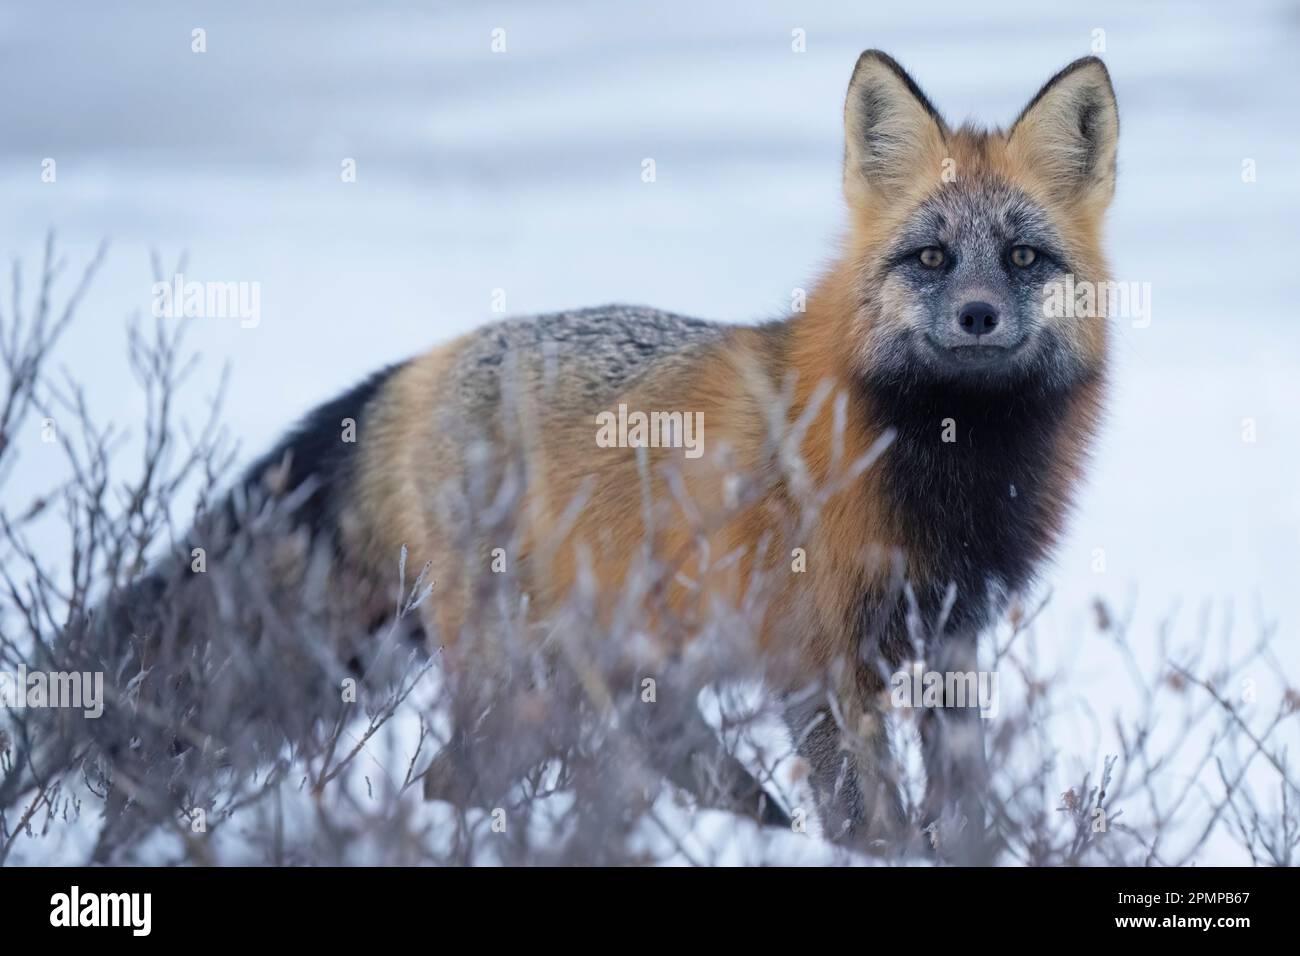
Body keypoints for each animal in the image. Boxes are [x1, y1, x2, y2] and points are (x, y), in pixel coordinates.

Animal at [90, 51, 1118, 853]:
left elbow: (962, 814)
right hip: (525, 688)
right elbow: (871, 823)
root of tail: (426, 362)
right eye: (932, 258)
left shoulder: (954, 641)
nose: (978, 316)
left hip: (626, 688)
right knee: (453, 787)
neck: (935, 461)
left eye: (1023, 259)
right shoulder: (821, 664)